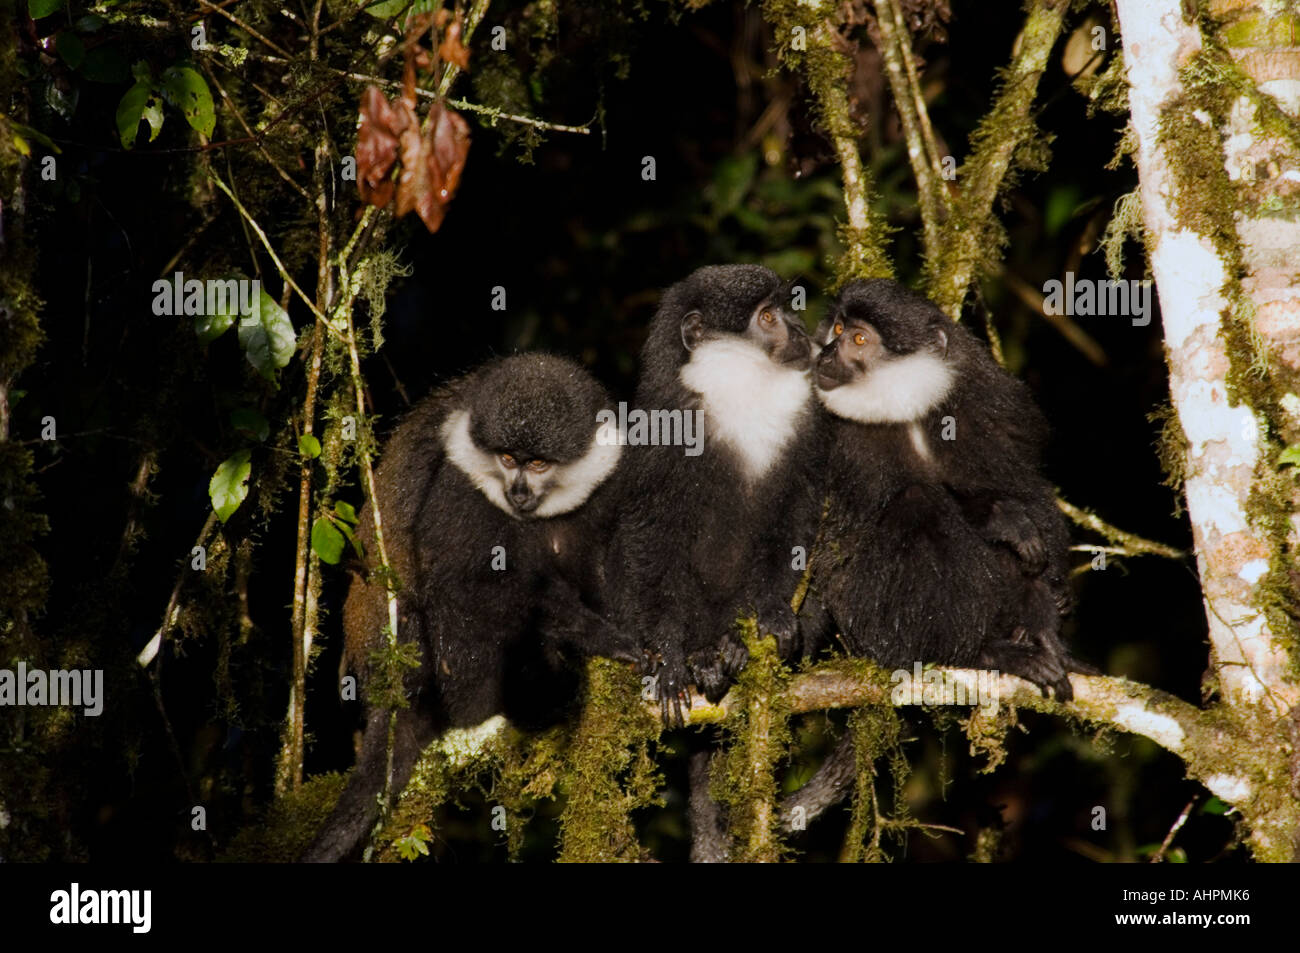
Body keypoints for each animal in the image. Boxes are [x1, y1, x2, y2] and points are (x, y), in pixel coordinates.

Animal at [302, 353, 634, 862]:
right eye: (508, 459)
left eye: (539, 463)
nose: (518, 492)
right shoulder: (457, 486)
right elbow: (460, 585)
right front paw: (589, 633)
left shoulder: (609, 485)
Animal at [604, 264, 825, 725]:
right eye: (768, 317)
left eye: (786, 308)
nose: (800, 330)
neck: (741, 394)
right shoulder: (665, 426)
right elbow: (651, 532)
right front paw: (671, 658)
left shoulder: (807, 423)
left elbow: (798, 512)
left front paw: (771, 610)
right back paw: (699, 655)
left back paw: (728, 645)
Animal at [808, 278, 1080, 700]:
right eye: (837, 329)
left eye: (857, 338)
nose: (827, 354)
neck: (904, 411)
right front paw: (996, 516)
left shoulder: (989, 398)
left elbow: (1026, 485)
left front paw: (1051, 603)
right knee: (919, 503)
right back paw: (977, 652)